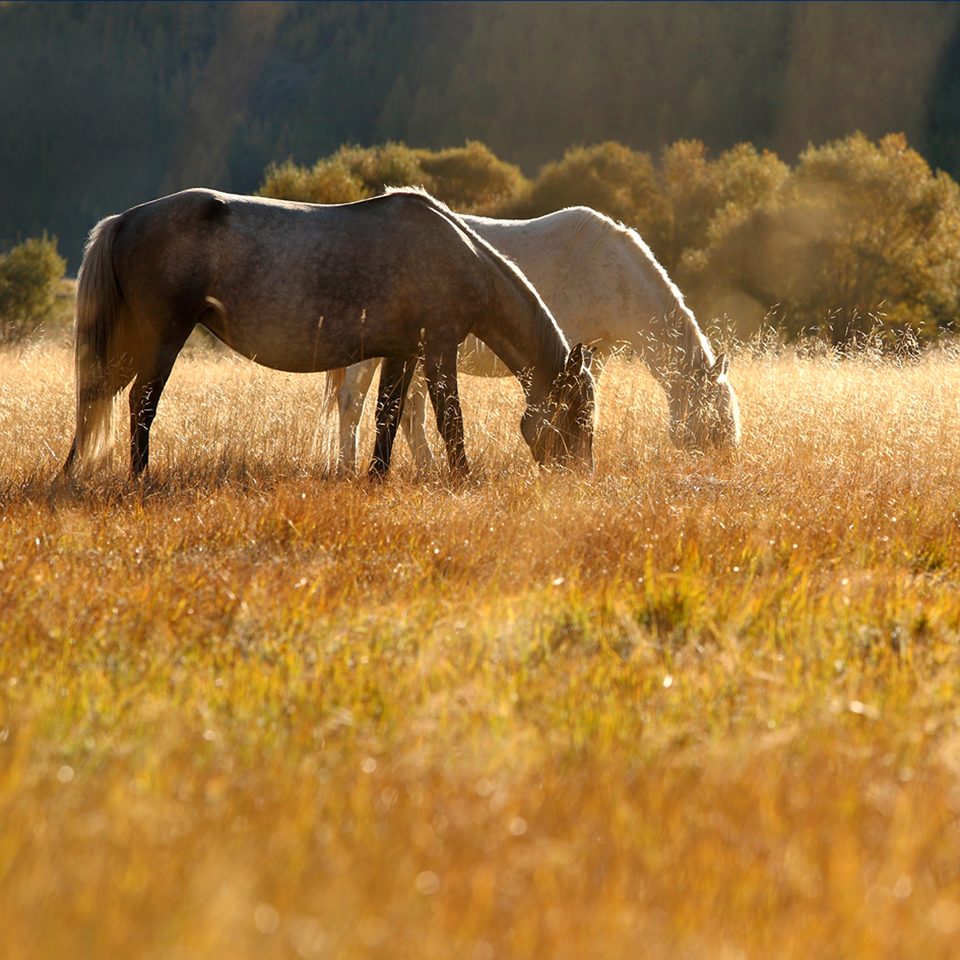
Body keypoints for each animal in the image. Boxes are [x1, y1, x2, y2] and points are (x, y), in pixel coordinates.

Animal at [62, 187, 592, 480]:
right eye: (578, 413)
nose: (581, 478)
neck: (459, 256)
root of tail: (125, 219)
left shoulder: (402, 352)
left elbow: (387, 416)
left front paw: (376, 478)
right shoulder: (439, 347)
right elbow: (450, 421)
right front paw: (463, 478)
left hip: (130, 344)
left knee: (98, 398)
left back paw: (73, 474)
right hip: (161, 339)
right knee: (139, 404)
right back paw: (139, 479)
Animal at [330, 205, 744, 472]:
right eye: (717, 417)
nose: (728, 459)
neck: (613, 277)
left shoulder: (597, 353)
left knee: (410, 411)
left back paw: (427, 471)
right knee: (352, 401)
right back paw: (346, 469)